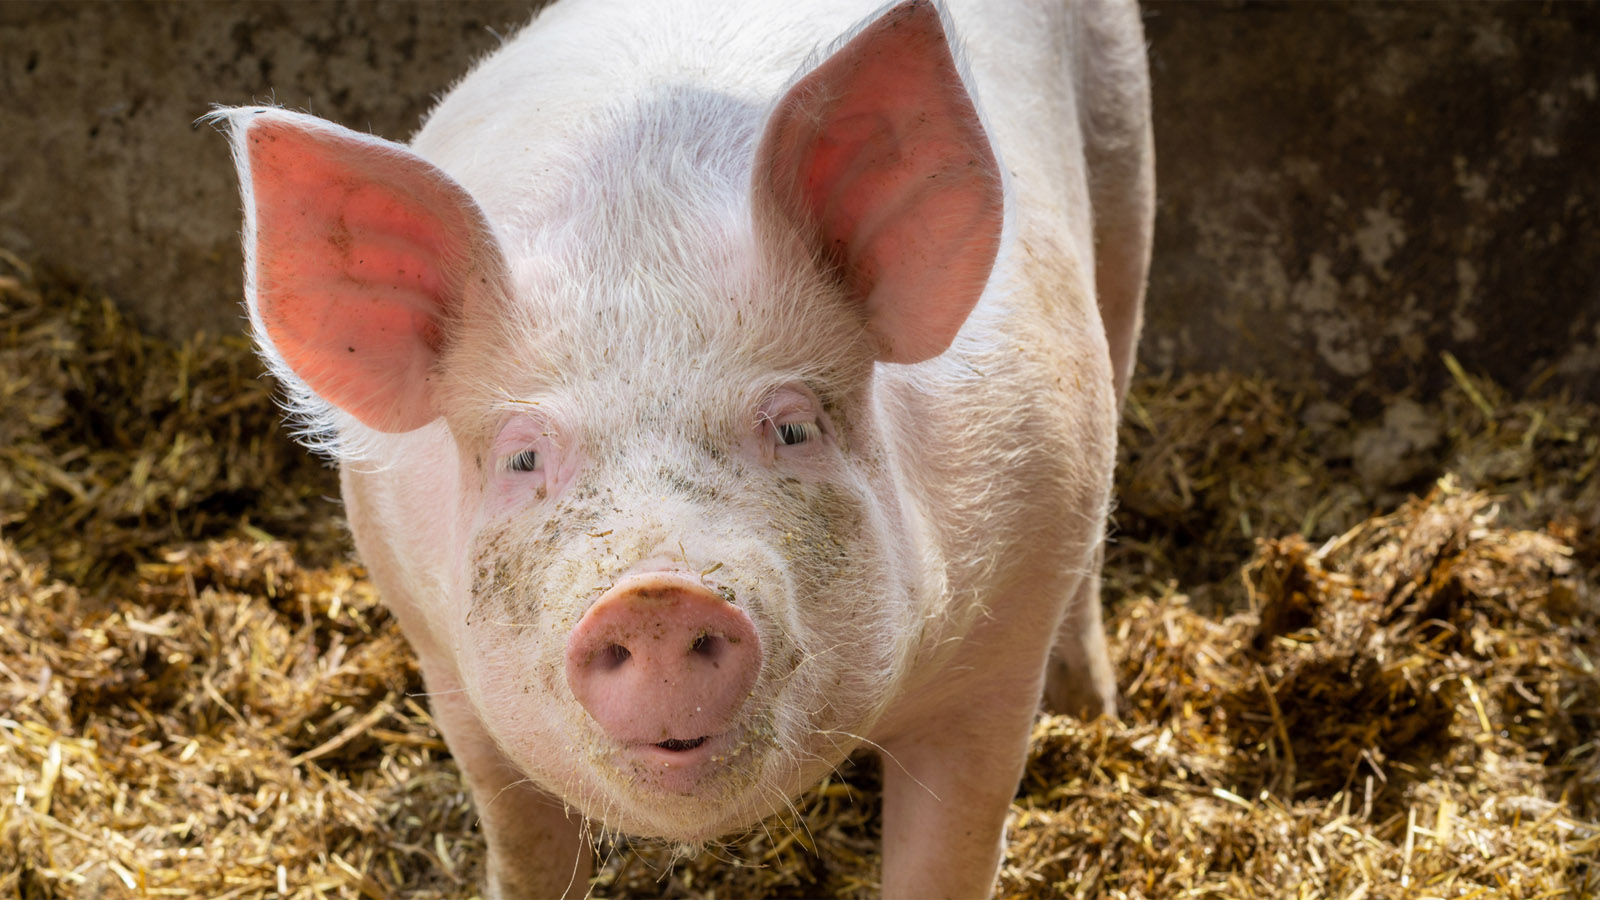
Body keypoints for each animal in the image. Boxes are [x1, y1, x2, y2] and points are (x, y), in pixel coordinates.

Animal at [212, 0, 1151, 895]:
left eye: (793, 427)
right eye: (522, 459)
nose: (656, 598)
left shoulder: (997, 657)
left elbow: (950, 858)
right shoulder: (445, 665)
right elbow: (527, 856)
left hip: (1121, 157)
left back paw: (1094, 708)